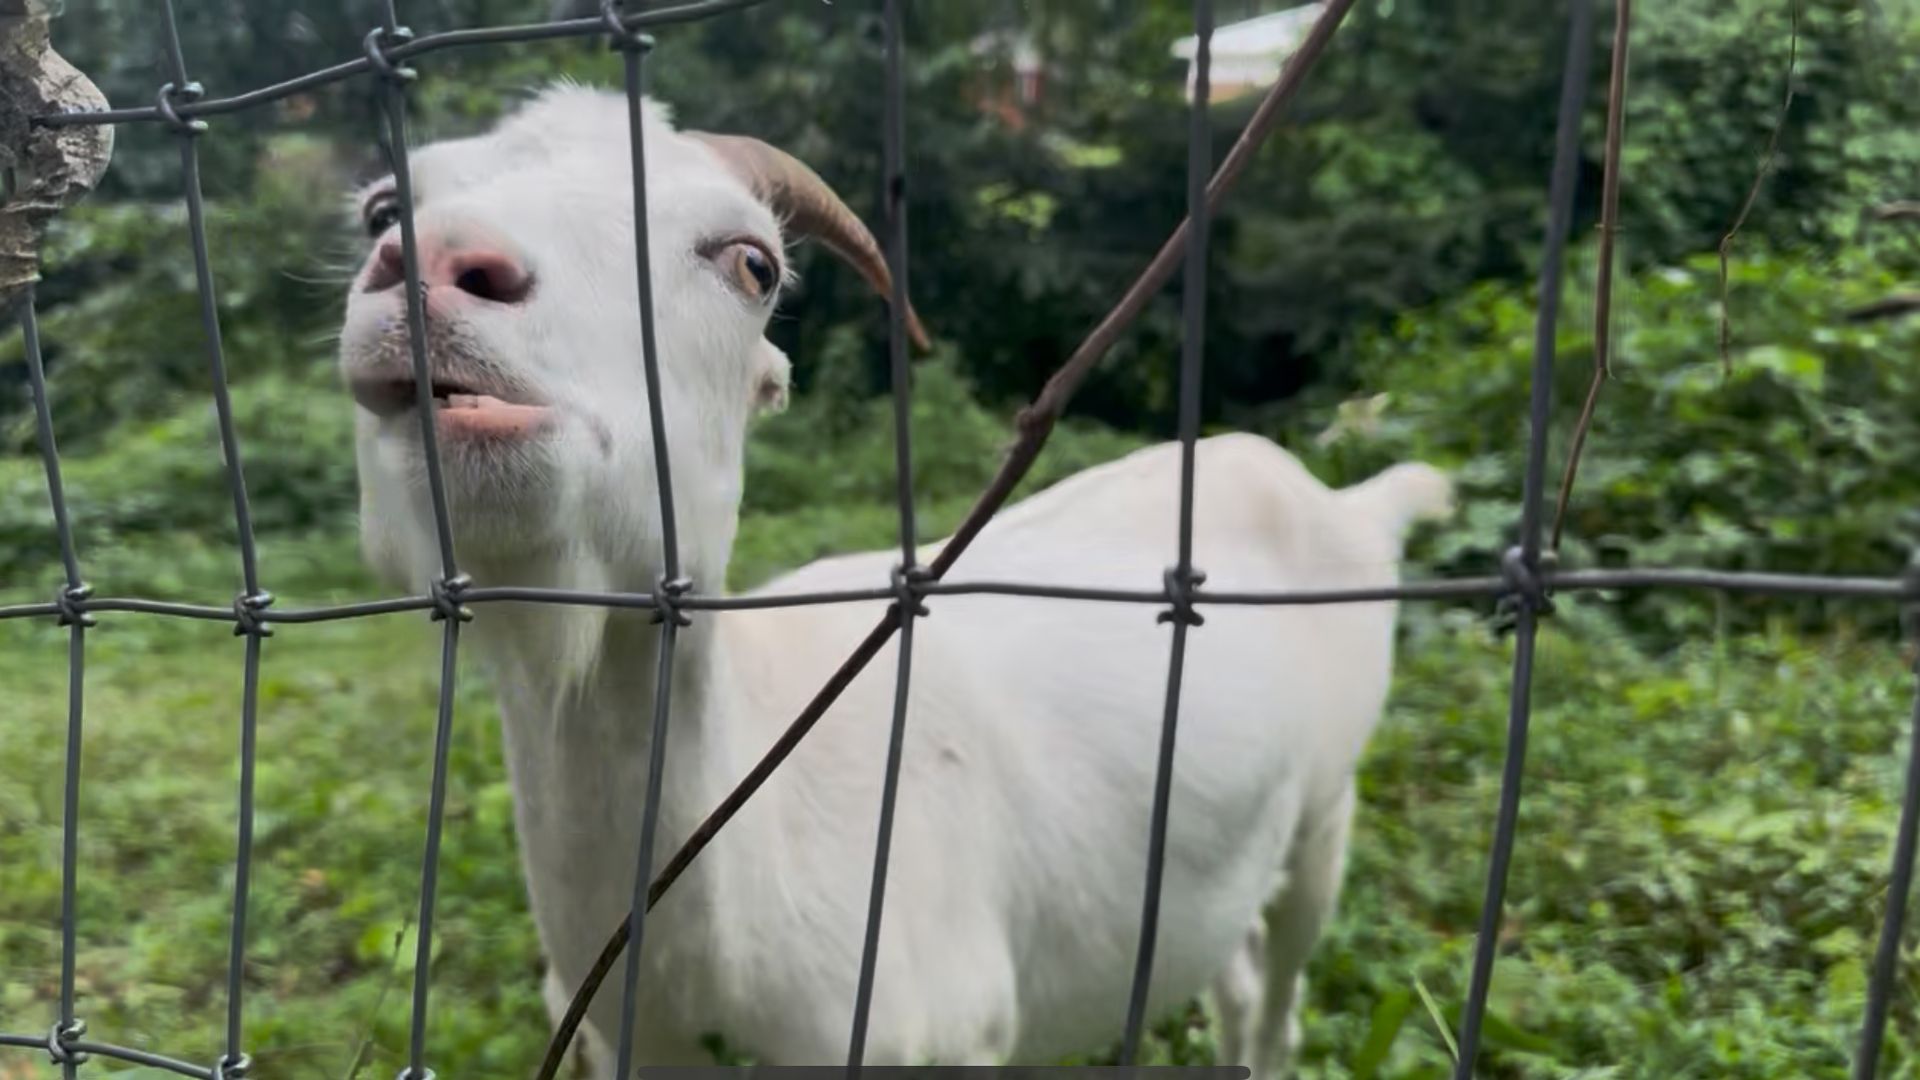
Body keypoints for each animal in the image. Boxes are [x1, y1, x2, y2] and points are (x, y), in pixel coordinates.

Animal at [336, 84, 1452, 1077]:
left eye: (751, 262)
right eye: (385, 211)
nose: (435, 263)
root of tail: (1348, 502)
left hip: (1327, 810)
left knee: (1282, 995)